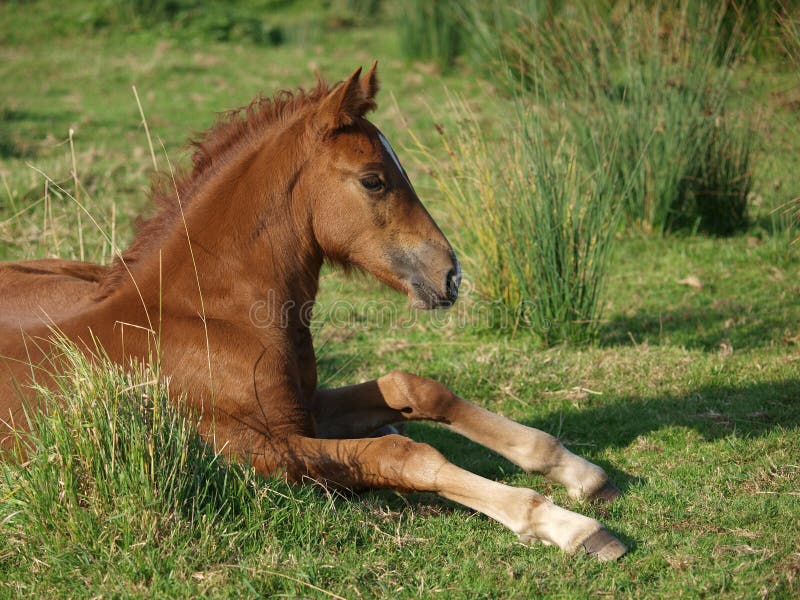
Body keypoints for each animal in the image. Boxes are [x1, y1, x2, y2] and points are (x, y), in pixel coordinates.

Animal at [0, 63, 626, 561]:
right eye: (374, 180)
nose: (449, 275)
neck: (211, 320)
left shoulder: (300, 414)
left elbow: (414, 387)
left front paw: (578, 472)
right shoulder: (251, 450)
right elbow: (404, 455)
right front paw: (564, 524)